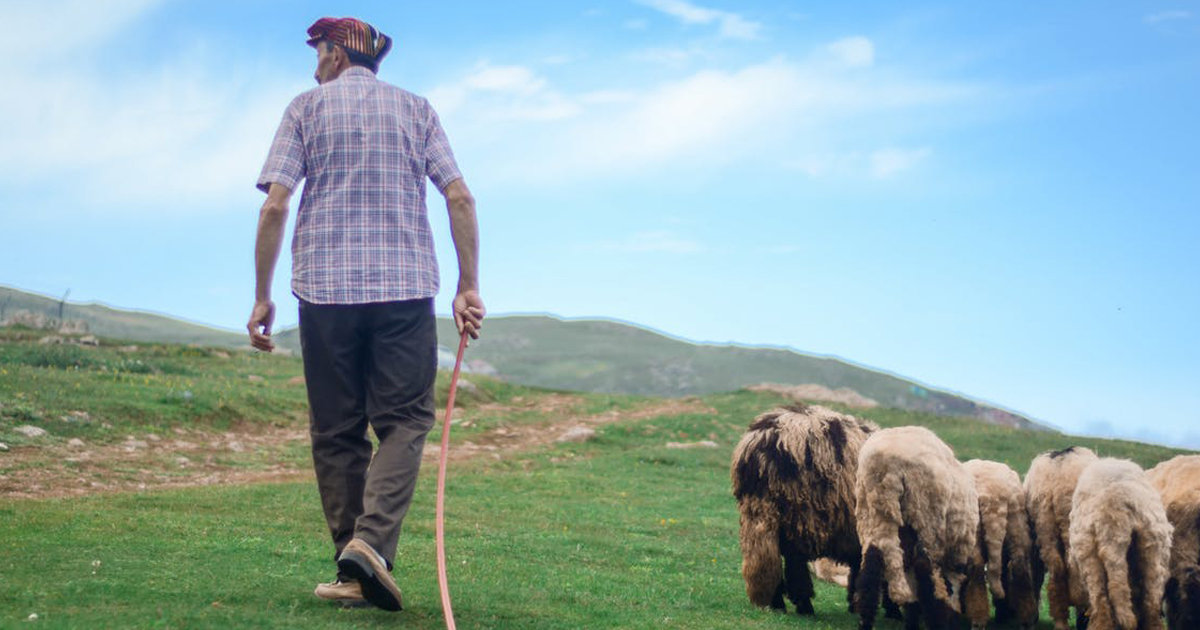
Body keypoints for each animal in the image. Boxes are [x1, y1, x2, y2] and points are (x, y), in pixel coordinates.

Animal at [730, 403, 879, 615]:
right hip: (802, 514)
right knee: (796, 561)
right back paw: (804, 605)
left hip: (762, 511)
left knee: (769, 556)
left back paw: (777, 603)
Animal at [853, 425, 986, 630]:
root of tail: (886, 465)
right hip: (927, 520)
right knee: (923, 568)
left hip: (873, 514)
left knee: (871, 566)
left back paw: (865, 622)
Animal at [964, 458, 1039, 629]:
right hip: (1017, 521)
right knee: (1019, 564)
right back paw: (1027, 620)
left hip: (976, 529)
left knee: (977, 566)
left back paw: (978, 621)